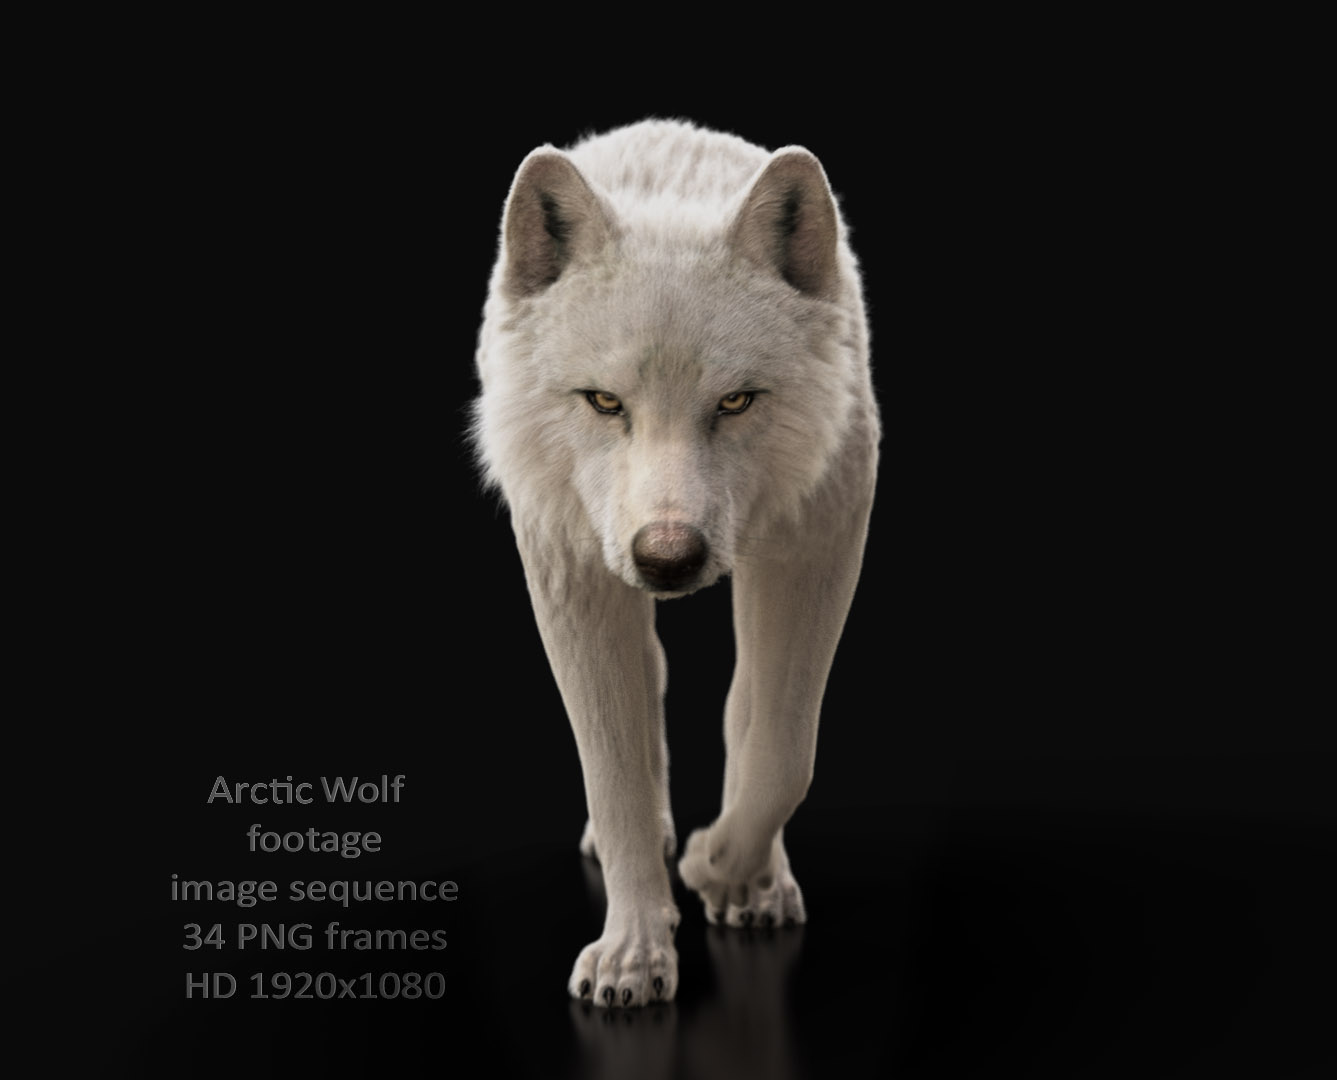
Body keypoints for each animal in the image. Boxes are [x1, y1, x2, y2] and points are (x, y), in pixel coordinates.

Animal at [472, 119, 878, 1007]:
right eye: (603, 402)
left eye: (735, 401)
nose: (666, 558)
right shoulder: (570, 570)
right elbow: (613, 772)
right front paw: (631, 954)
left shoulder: (820, 546)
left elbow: (784, 751)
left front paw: (721, 868)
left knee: (743, 703)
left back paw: (755, 878)